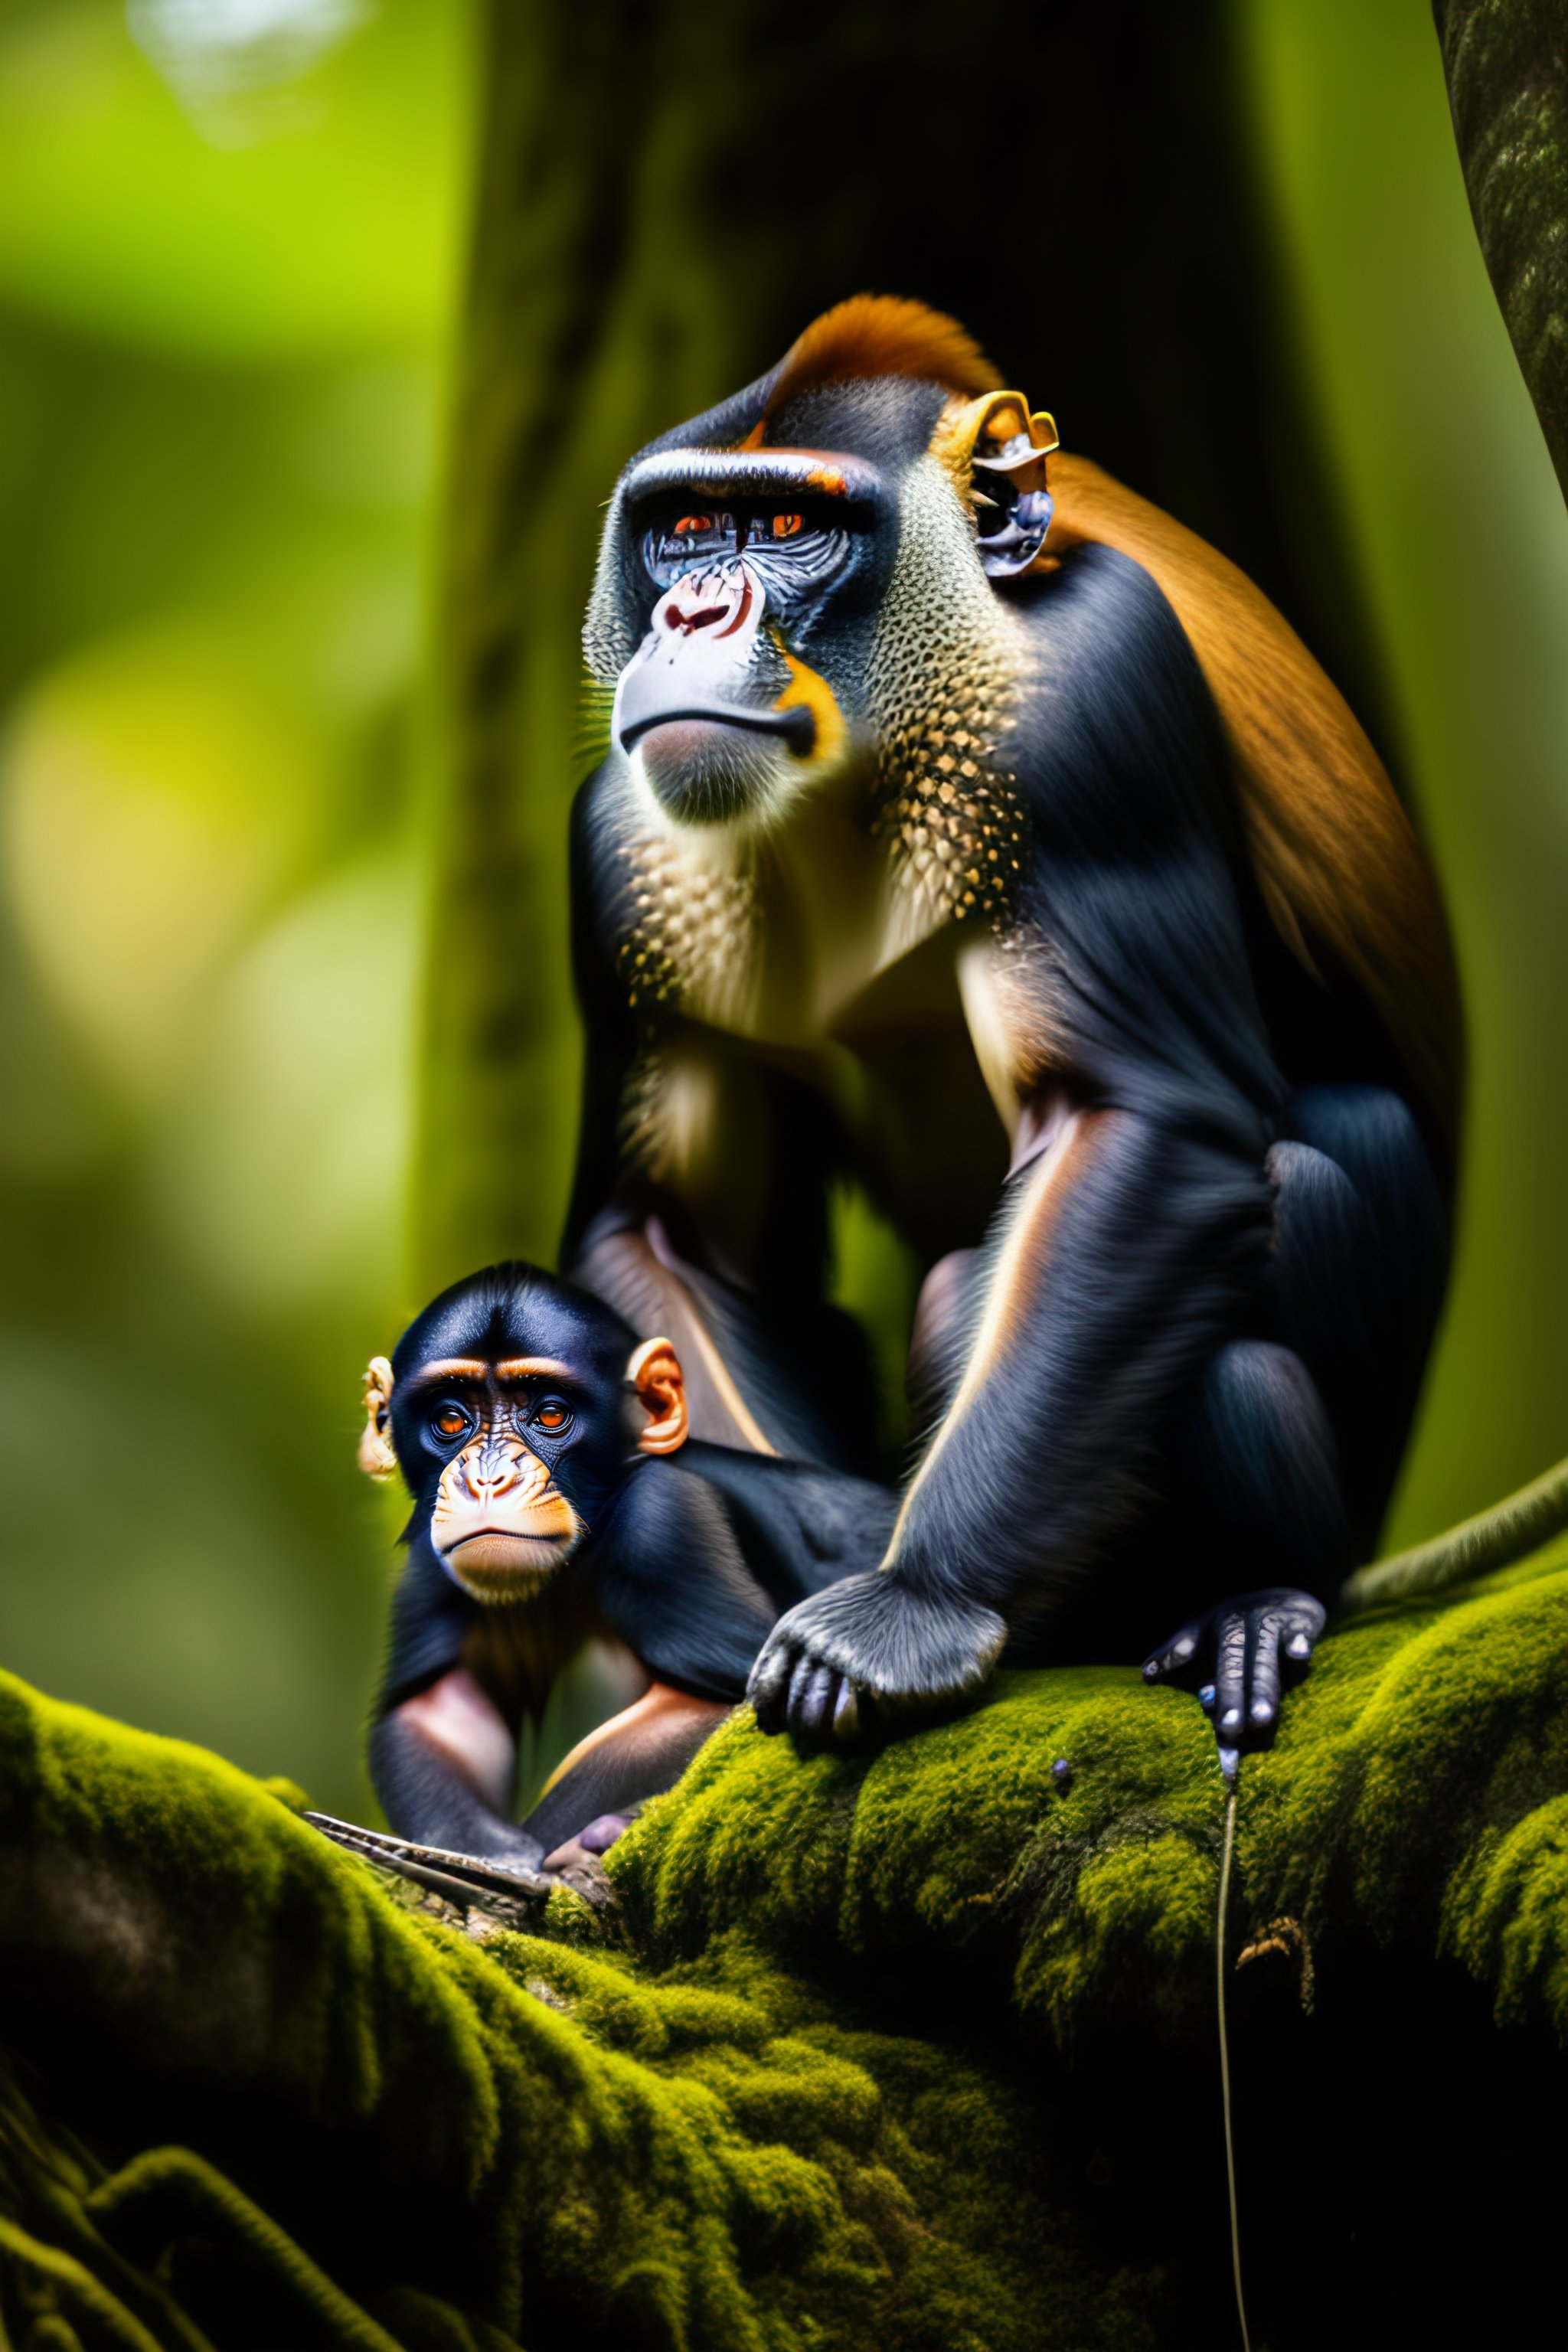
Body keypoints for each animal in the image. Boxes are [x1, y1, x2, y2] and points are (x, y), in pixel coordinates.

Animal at [346, 1262, 895, 1883]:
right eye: (450, 1419)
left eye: (550, 1414)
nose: (486, 1478)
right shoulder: (428, 1549)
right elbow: (438, 1706)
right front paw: (494, 1851)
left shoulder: (662, 1518)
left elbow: (727, 1701)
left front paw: (568, 1846)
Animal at [562, 294, 1462, 1773]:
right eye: (684, 533)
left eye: (789, 526)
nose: (690, 611)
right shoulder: (625, 857)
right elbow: (674, 1233)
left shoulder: (1081, 705)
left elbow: (1137, 1121)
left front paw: (902, 1607)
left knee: (1314, 1168)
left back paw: (1249, 1600)